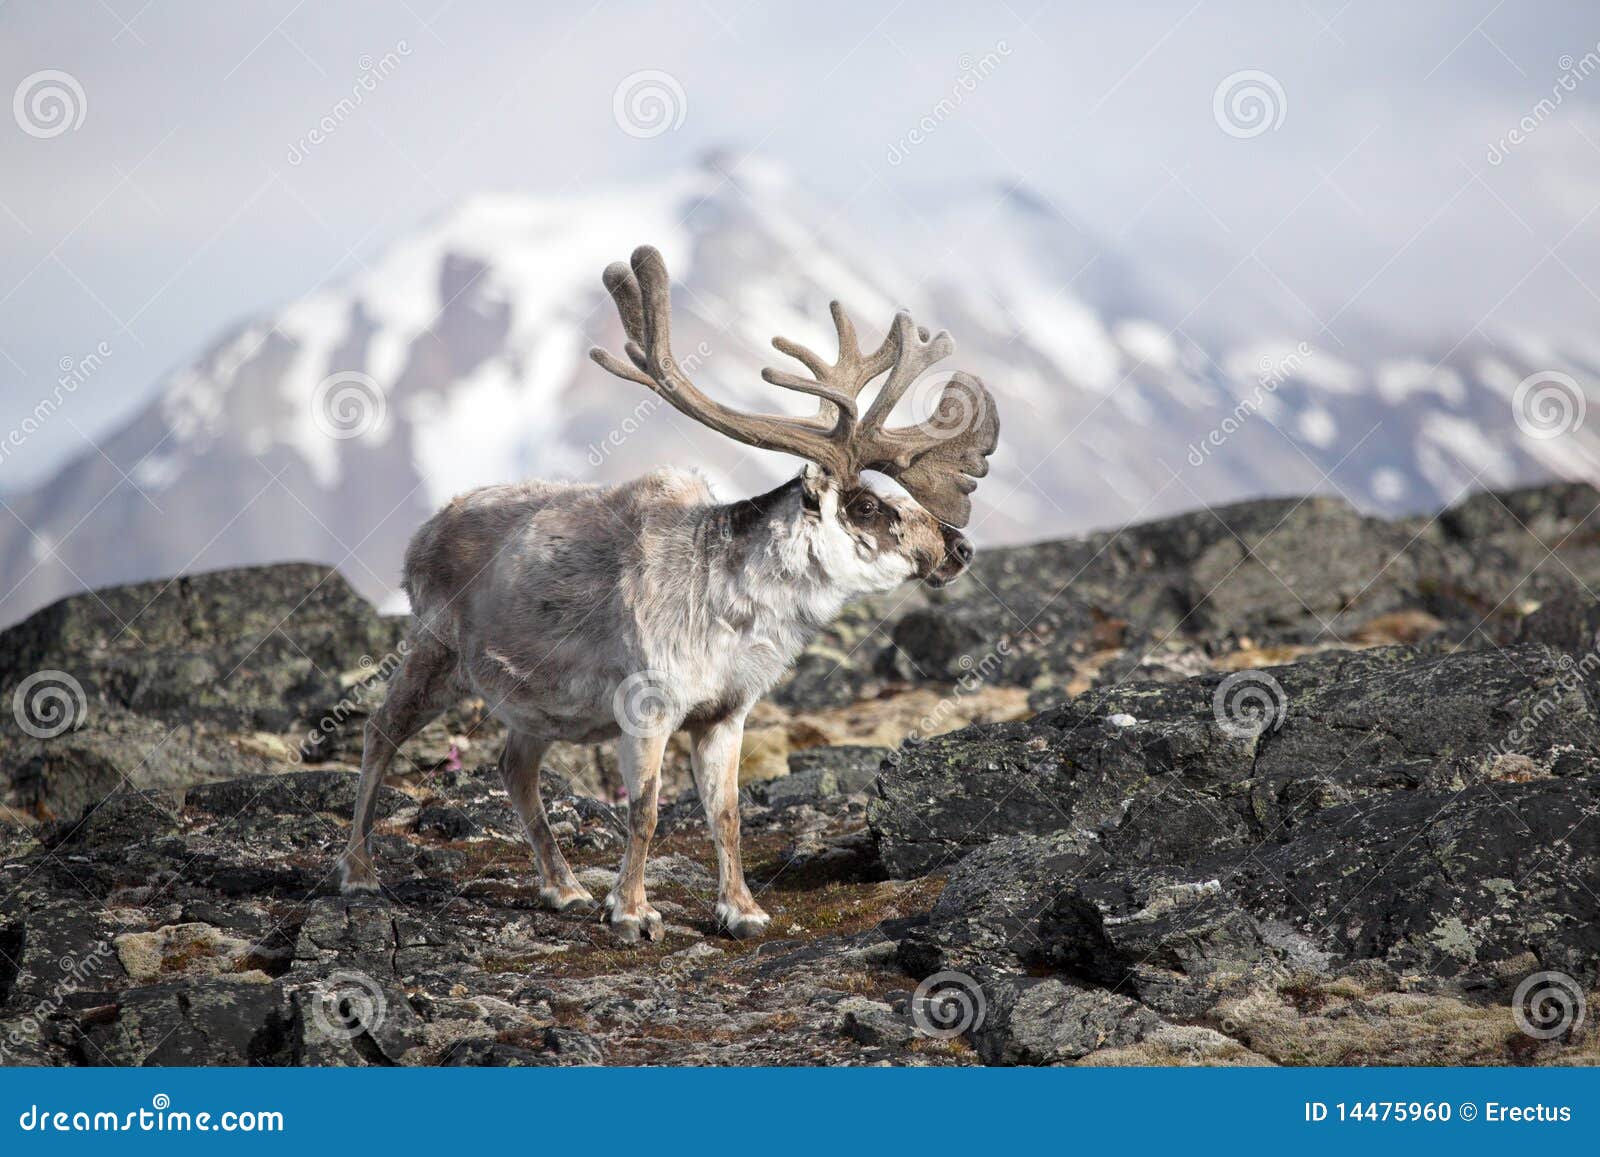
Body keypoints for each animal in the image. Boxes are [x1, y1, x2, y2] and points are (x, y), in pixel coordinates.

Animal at [338, 245, 998, 942]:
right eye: (868, 505)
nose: (959, 548)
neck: (735, 611)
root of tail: (425, 531)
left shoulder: (726, 711)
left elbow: (727, 813)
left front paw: (741, 910)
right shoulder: (648, 704)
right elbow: (647, 810)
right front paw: (632, 911)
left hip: (536, 703)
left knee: (514, 768)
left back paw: (564, 888)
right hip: (433, 650)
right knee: (380, 731)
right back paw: (359, 873)